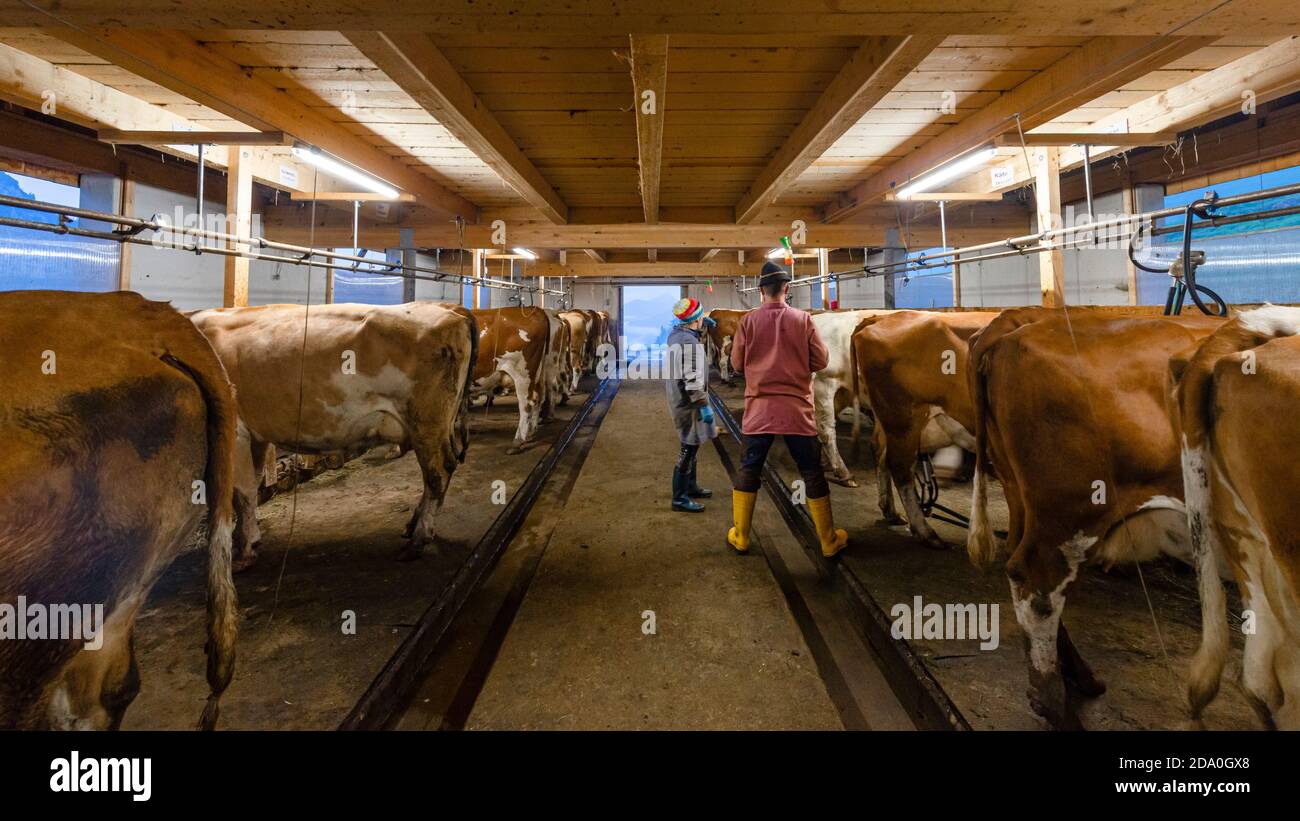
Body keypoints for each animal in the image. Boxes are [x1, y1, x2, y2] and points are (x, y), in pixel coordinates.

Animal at [192, 301, 477, 567]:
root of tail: (454, 312)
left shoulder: (234, 429)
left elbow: (240, 492)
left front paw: (244, 549)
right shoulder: (255, 434)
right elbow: (253, 483)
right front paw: (245, 539)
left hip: (427, 423)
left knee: (438, 472)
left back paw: (418, 539)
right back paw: (413, 526)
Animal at [470, 307, 553, 453]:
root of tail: (535, 309)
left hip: (522, 375)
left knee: (527, 404)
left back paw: (517, 442)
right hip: (538, 374)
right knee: (538, 398)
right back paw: (530, 434)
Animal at [851, 310, 997, 547]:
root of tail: (882, 318)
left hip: (892, 421)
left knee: (879, 450)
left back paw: (891, 512)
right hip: (902, 419)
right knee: (900, 466)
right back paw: (925, 532)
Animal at [965, 308, 1222, 729]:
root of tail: (1011, 326)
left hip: (1022, 493)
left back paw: (1081, 679)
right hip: (1074, 507)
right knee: (1037, 581)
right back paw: (1056, 706)